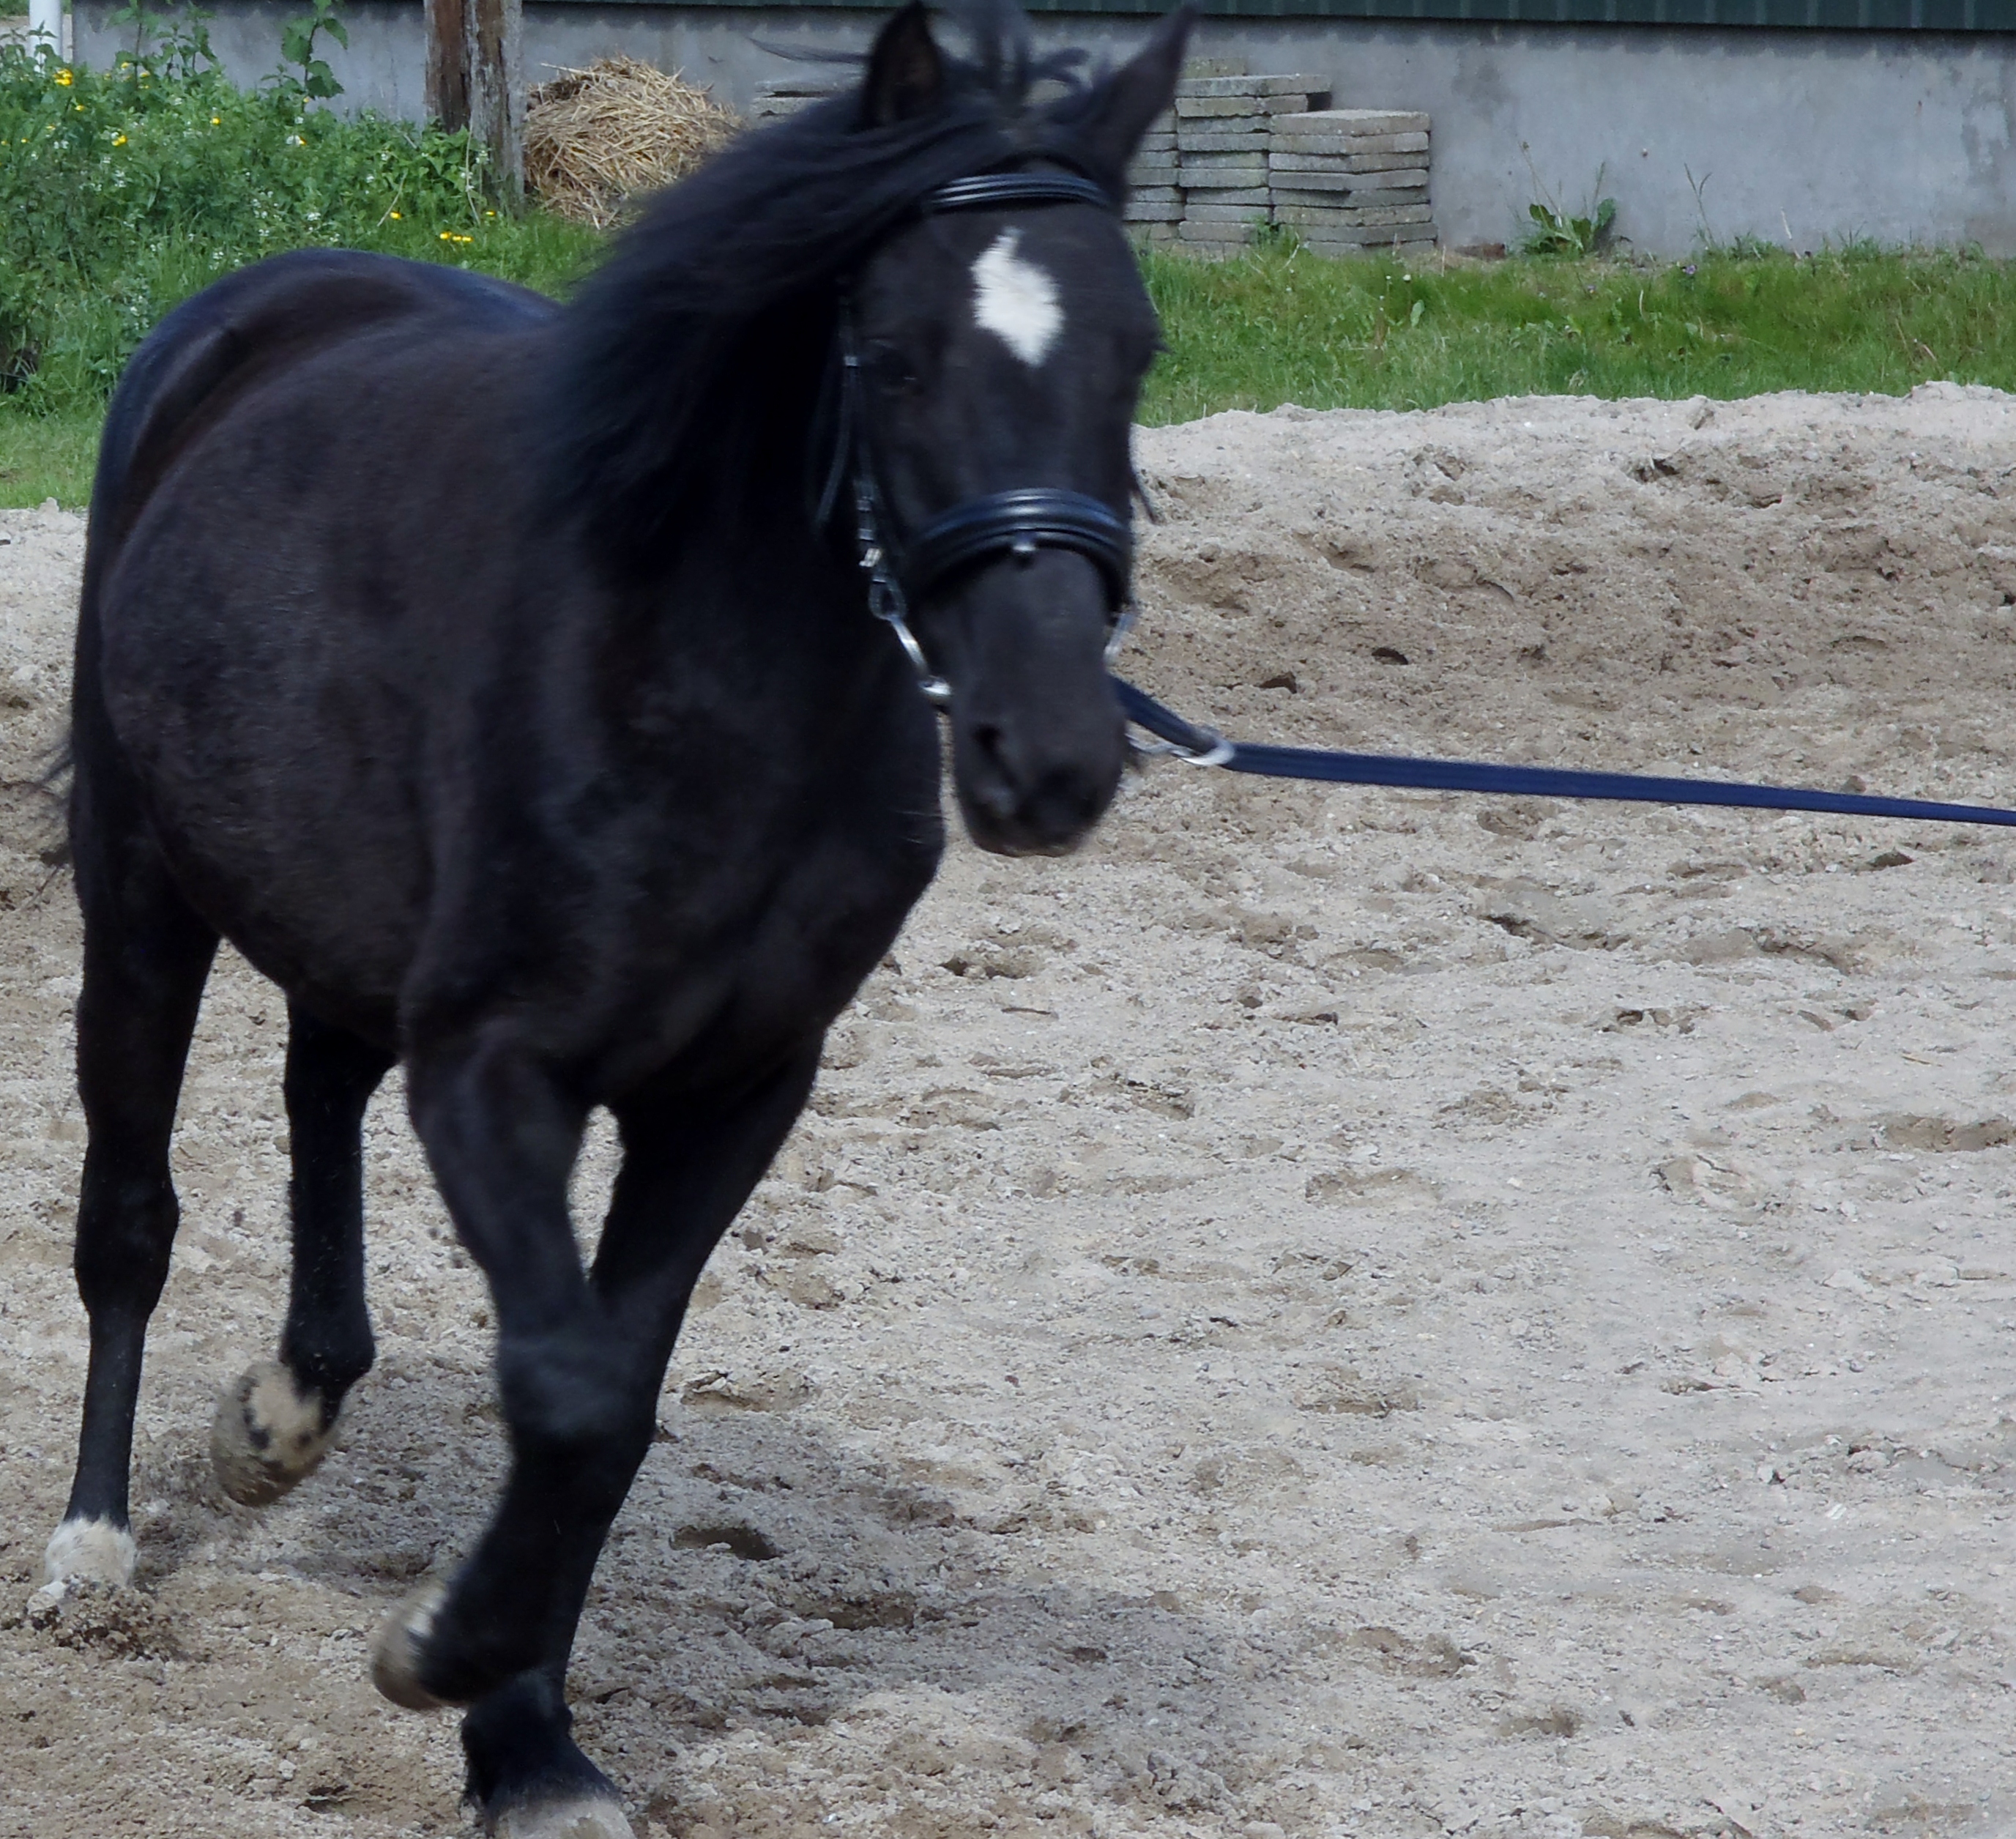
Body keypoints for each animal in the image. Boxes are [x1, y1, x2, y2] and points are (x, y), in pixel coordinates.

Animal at [36, 4, 1192, 1832]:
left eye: (1133, 352)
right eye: (894, 354)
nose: (1049, 758)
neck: (706, 685)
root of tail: (249, 316)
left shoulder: (733, 1091)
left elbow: (617, 1403)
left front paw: (525, 1744)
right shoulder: (497, 1070)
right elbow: (569, 1395)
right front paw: (441, 1660)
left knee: (316, 1091)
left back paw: (284, 1412)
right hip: (143, 893)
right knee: (130, 1213)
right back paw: (92, 1547)